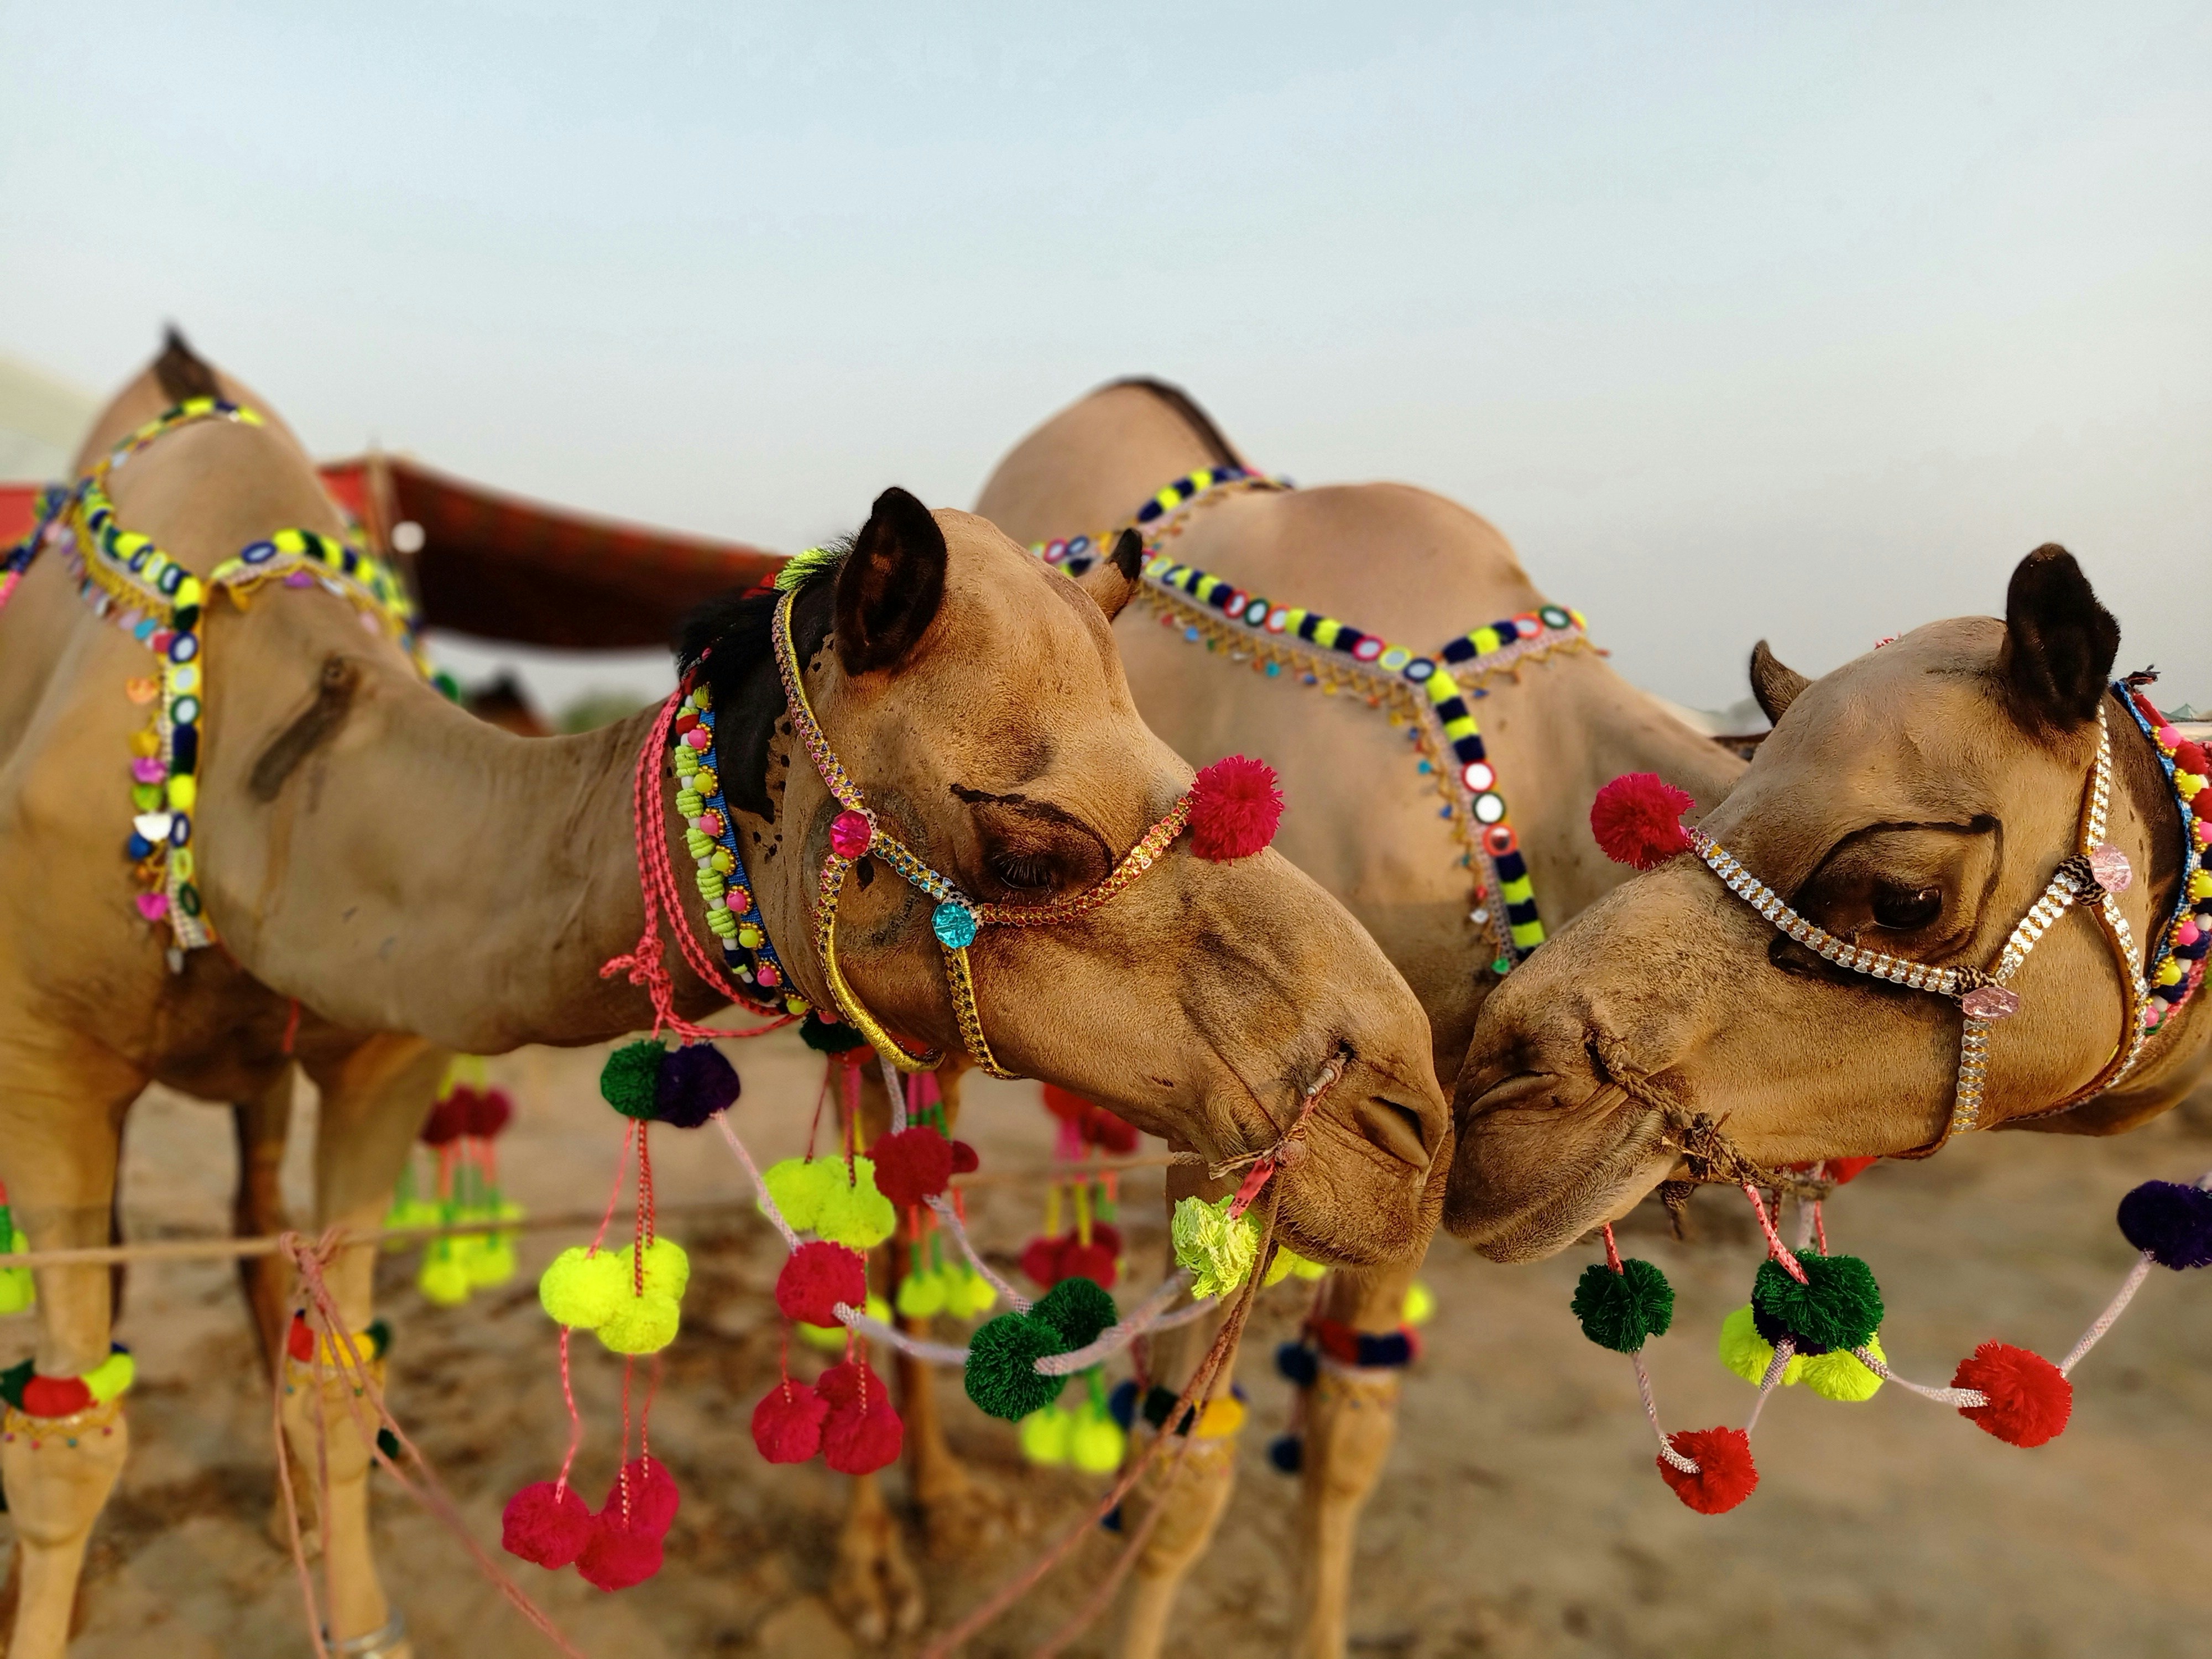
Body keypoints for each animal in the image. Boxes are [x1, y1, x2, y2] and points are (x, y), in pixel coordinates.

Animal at [0, 341, 1450, 1659]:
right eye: (1030, 849)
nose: (1407, 1125)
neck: (254, 780)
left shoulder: (381, 1053)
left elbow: (338, 1372)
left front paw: (358, 1619)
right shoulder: (45, 1058)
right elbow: (71, 1437)